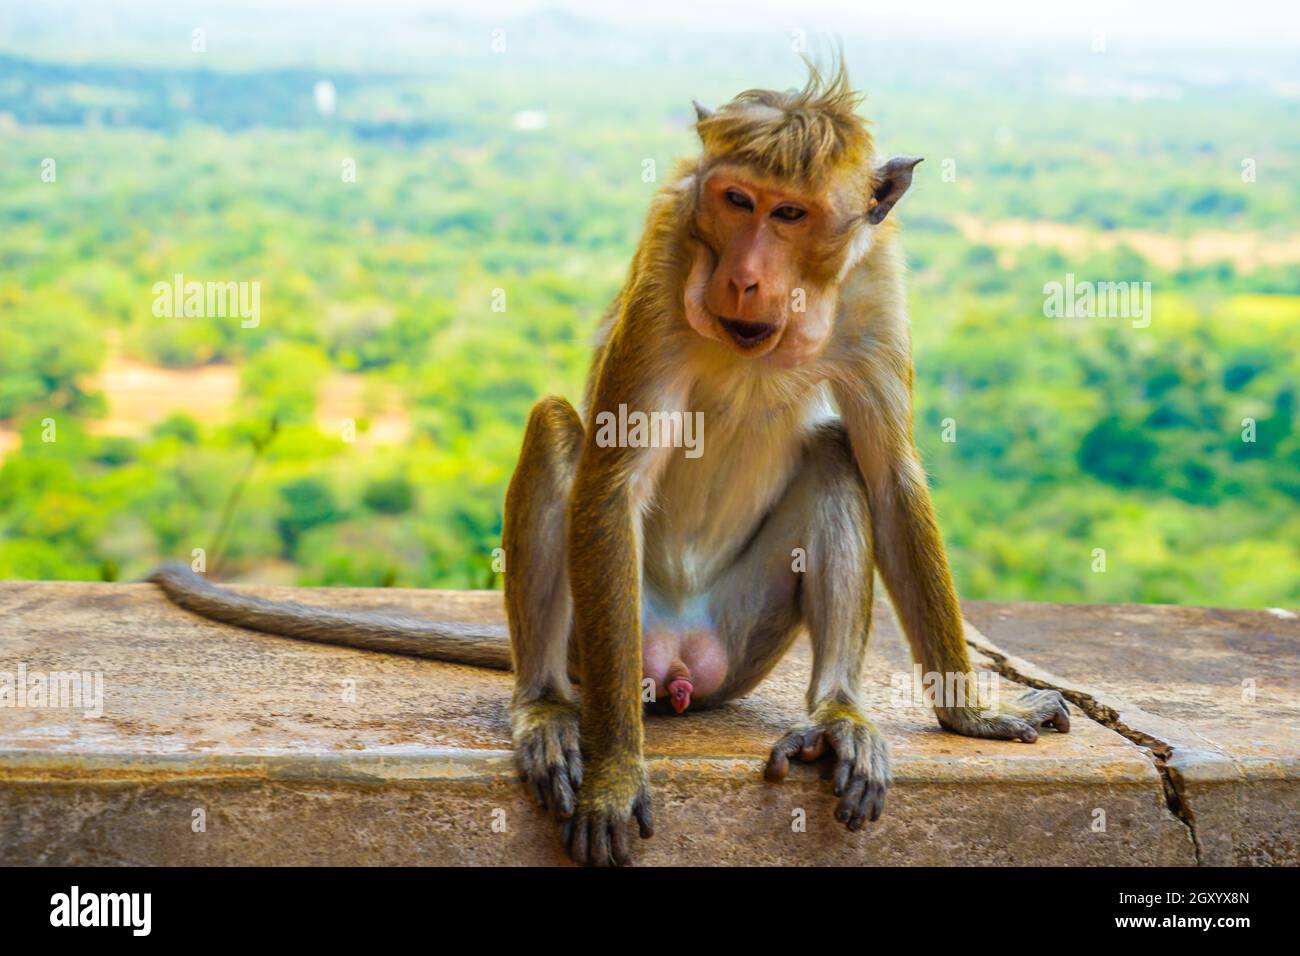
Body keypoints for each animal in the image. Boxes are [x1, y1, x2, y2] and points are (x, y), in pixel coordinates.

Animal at [149, 60, 1070, 867]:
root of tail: (677, 661)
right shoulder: (669, 254)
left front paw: (972, 715)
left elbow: (889, 472)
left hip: (744, 637)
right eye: (737, 201)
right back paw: (548, 712)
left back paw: (836, 718)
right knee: (560, 434)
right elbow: (611, 478)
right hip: (608, 642)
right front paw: (616, 776)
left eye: (791, 215)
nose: (742, 278)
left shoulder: (874, 282)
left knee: (835, 457)